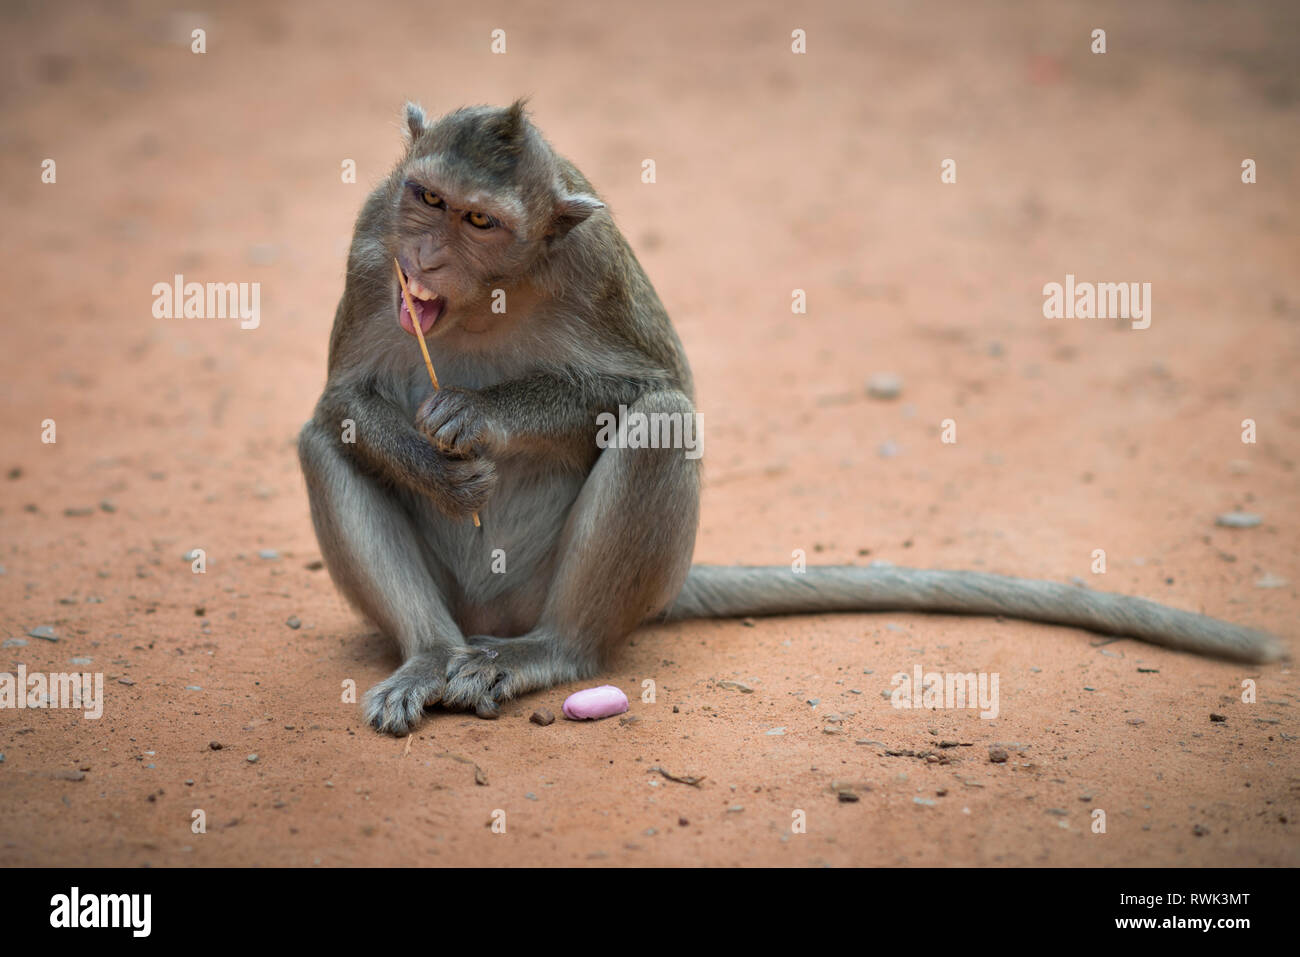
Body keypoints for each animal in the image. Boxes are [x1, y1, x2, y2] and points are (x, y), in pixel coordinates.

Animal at [297, 100, 1284, 736]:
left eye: (479, 221)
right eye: (425, 200)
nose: (426, 259)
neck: (486, 297)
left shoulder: (597, 264)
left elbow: (666, 388)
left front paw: (478, 418)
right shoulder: (368, 243)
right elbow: (340, 402)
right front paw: (433, 461)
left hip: (551, 594)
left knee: (660, 425)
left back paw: (553, 651)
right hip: (462, 598)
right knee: (324, 445)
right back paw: (428, 654)